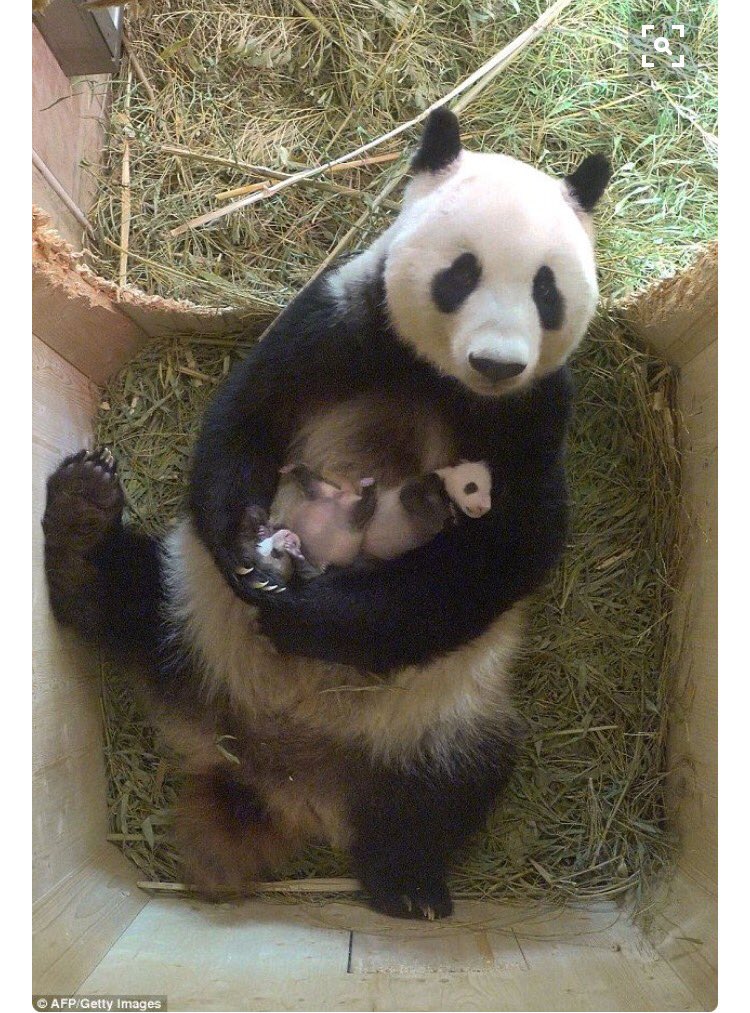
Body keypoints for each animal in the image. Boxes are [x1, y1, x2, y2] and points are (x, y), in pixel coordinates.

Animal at [42, 109, 610, 920]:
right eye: (461, 273)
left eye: (546, 288)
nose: (496, 362)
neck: (439, 378)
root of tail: (272, 768)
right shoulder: (339, 324)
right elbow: (245, 418)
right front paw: (248, 549)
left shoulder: (535, 413)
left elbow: (511, 547)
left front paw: (308, 616)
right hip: (193, 604)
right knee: (129, 594)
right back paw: (83, 519)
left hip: (443, 714)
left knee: (448, 789)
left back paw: (409, 884)